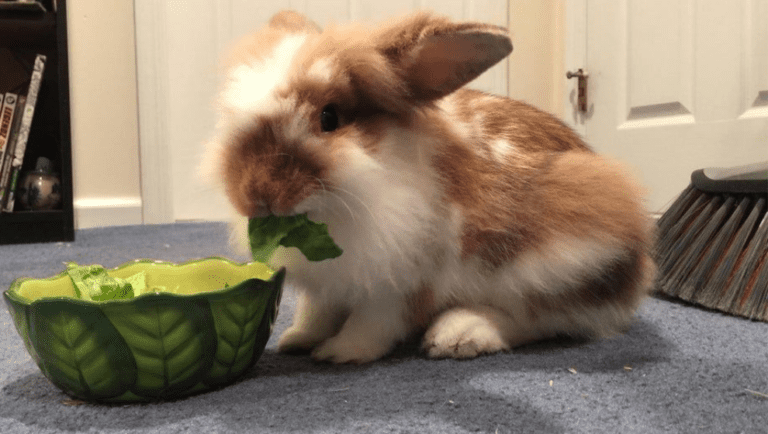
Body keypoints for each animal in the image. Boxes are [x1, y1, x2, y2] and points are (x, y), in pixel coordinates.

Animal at [201, 10, 656, 364]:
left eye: (329, 118)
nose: (256, 195)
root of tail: (635, 277)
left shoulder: (399, 281)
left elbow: (373, 323)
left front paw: (339, 353)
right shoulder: (329, 283)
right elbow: (315, 313)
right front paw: (296, 340)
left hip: (555, 256)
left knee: (546, 318)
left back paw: (459, 334)